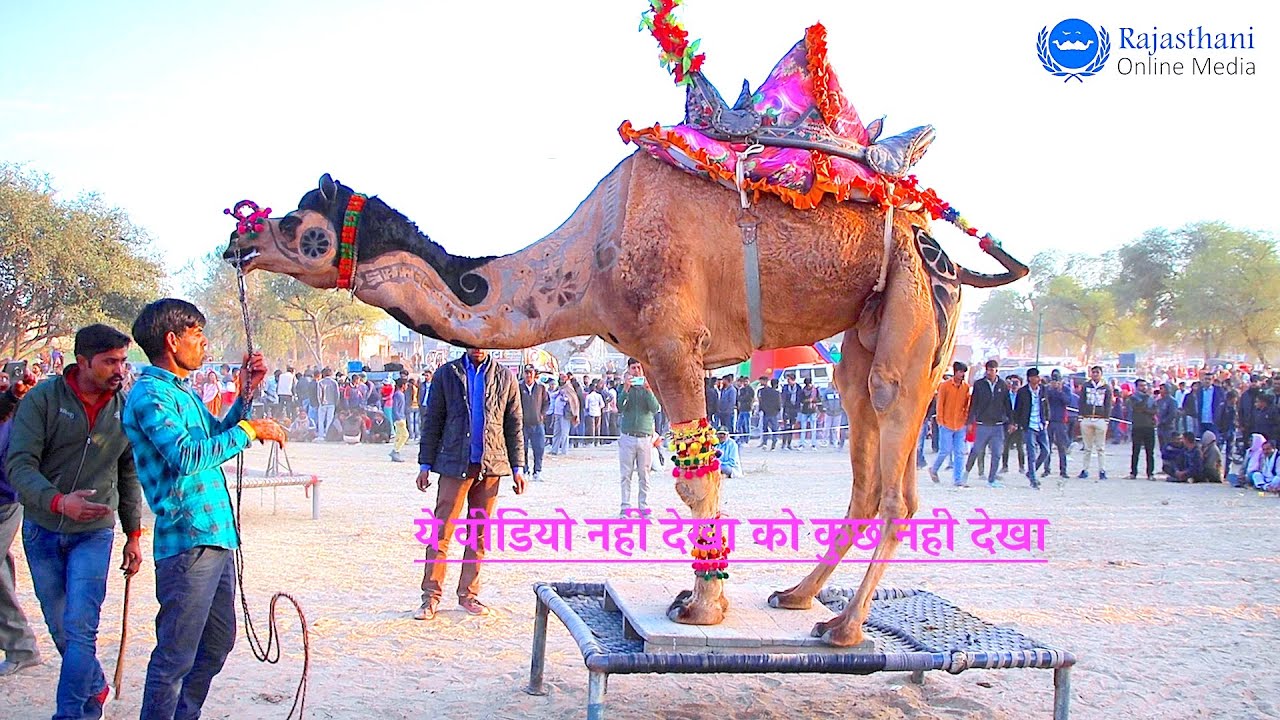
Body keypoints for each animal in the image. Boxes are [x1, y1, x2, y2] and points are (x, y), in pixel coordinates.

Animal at [223, 148, 1027, 645]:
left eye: (302, 225)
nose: (237, 243)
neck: (586, 260)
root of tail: (939, 245)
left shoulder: (673, 344)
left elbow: (696, 478)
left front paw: (704, 607)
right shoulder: (647, 351)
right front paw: (703, 597)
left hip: (912, 314)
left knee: (896, 483)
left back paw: (844, 627)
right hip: (862, 341)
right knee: (864, 467)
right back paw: (798, 596)